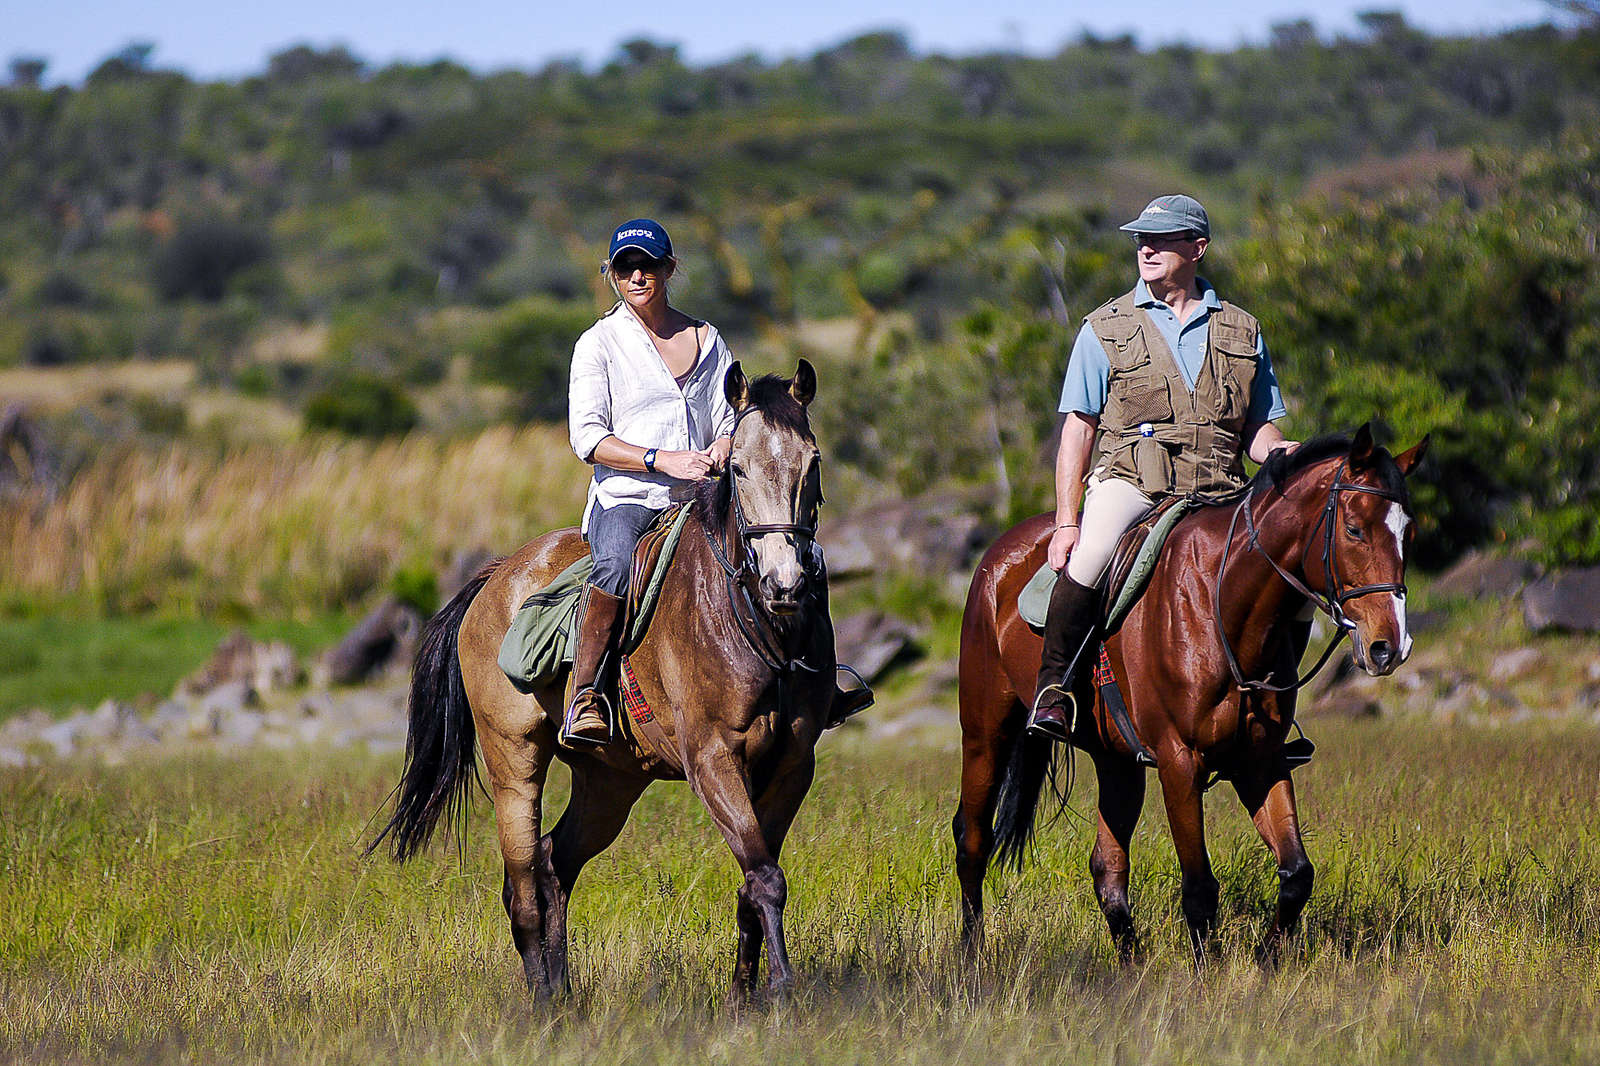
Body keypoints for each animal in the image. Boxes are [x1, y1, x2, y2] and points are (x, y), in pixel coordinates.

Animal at [370, 360, 836, 1002]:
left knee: (554, 864)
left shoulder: (794, 764)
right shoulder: (713, 759)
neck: (760, 624)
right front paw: (782, 991)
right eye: (737, 467)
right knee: (523, 888)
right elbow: (764, 876)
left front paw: (746, 997)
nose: (785, 582)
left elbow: (753, 881)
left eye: (811, 462)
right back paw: (543, 1001)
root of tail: (494, 578)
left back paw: (565, 996)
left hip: (610, 782)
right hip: (515, 764)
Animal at [953, 425, 1428, 965]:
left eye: (1409, 534)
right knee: (972, 838)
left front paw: (1266, 960)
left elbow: (1296, 874)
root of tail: (1000, 555)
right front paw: (1208, 976)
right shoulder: (1180, 761)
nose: (1389, 647)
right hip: (986, 732)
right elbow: (1200, 888)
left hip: (1116, 760)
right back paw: (970, 954)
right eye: (1353, 530)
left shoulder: (1260, 760)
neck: (1222, 603)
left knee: (1107, 866)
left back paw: (1130, 965)